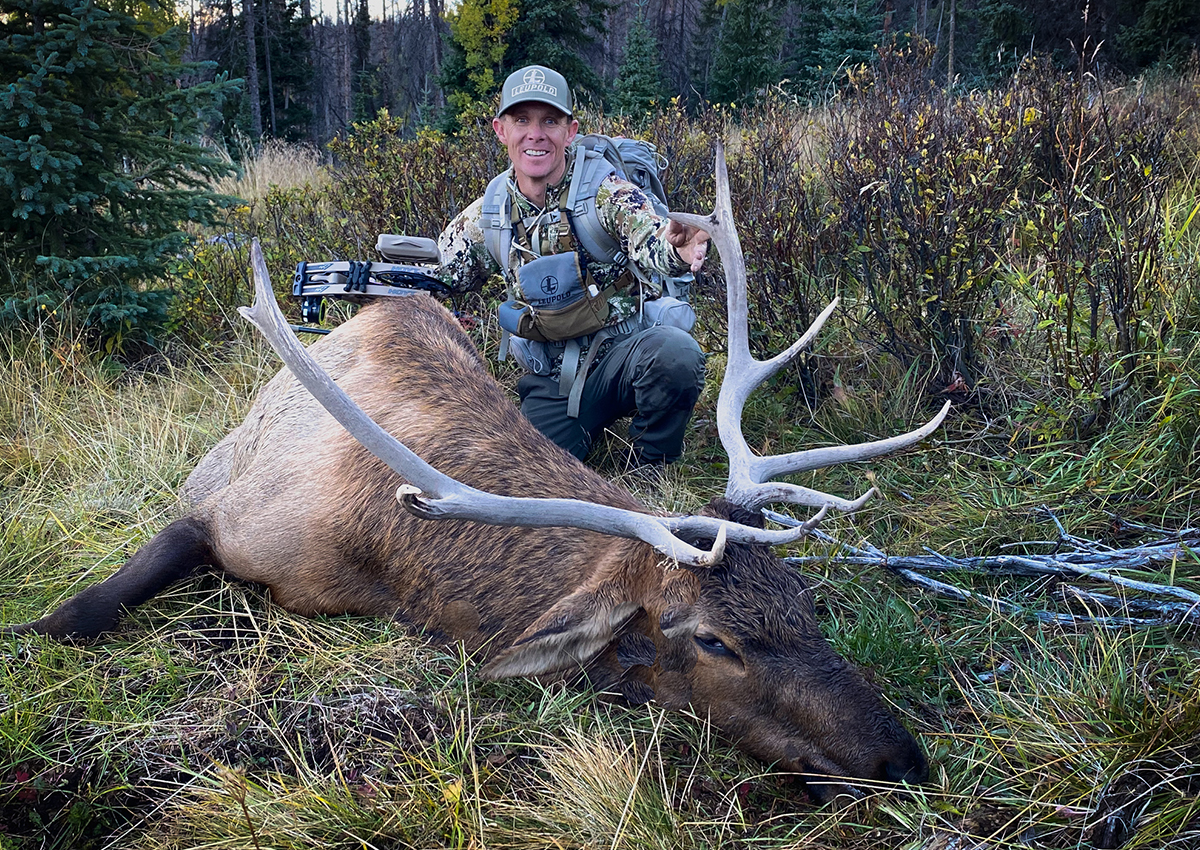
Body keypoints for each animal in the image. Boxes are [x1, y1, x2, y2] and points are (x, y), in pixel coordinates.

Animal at [9, 148, 949, 798]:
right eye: (714, 639)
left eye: (806, 601)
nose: (905, 758)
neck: (388, 565)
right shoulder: (221, 513)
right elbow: (92, 603)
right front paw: (31, 632)